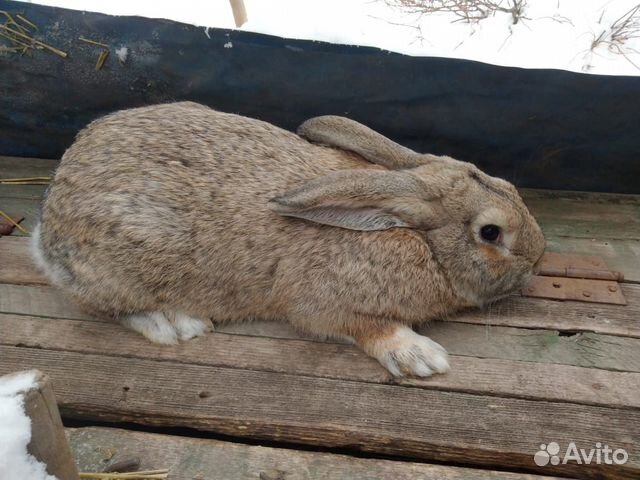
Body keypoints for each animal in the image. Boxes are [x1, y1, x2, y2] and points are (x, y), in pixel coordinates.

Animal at [32, 102, 545, 377]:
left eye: (507, 184)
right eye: (491, 233)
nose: (538, 257)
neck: (414, 236)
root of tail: (49, 220)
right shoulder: (318, 303)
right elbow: (361, 325)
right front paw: (420, 356)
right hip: (120, 267)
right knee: (111, 307)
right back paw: (177, 325)